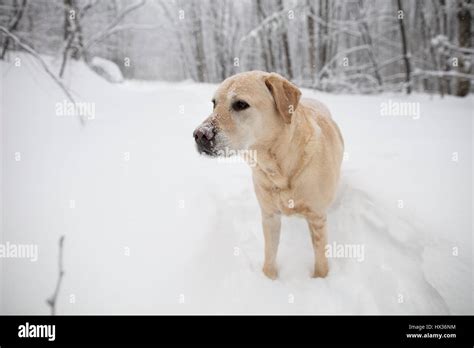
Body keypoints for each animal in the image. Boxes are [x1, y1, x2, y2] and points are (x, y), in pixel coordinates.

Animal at [193, 71, 344, 280]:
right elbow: (270, 254)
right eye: (214, 103)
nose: (199, 135)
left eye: (240, 104)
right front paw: (269, 278)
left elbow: (321, 260)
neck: (279, 168)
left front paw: (320, 280)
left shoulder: (317, 217)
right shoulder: (269, 215)